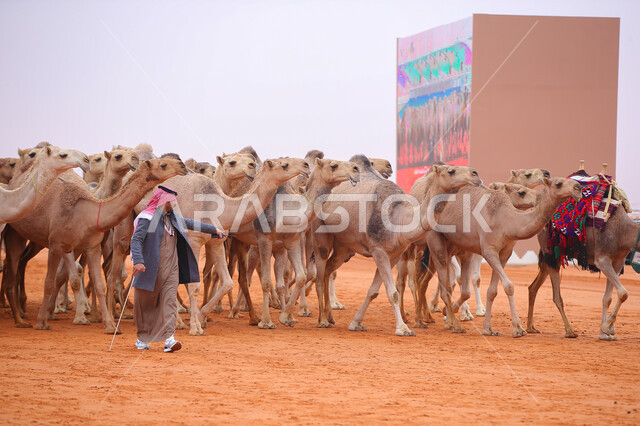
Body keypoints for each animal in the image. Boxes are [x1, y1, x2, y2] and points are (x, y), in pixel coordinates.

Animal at [1, 158, 188, 332]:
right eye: (163, 165)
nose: (183, 166)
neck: (89, 213)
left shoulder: (92, 247)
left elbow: (99, 284)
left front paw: (110, 326)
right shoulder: (57, 244)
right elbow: (49, 282)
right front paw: (42, 322)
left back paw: (21, 317)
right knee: (15, 265)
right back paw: (22, 317)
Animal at [311, 157, 481, 335]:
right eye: (451, 171)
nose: (475, 174)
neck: (398, 219)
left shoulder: (394, 255)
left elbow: (373, 291)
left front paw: (356, 323)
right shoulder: (378, 251)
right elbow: (392, 293)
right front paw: (403, 328)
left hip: (344, 247)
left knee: (328, 269)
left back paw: (330, 316)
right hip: (321, 235)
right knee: (321, 272)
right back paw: (322, 320)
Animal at [420, 178, 581, 337]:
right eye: (558, 183)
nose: (578, 187)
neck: (504, 220)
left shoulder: (504, 254)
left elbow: (492, 291)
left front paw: (488, 329)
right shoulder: (489, 250)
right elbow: (509, 286)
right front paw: (518, 328)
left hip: (455, 246)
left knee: (459, 287)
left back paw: (446, 316)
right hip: (435, 237)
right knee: (444, 281)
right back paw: (453, 324)